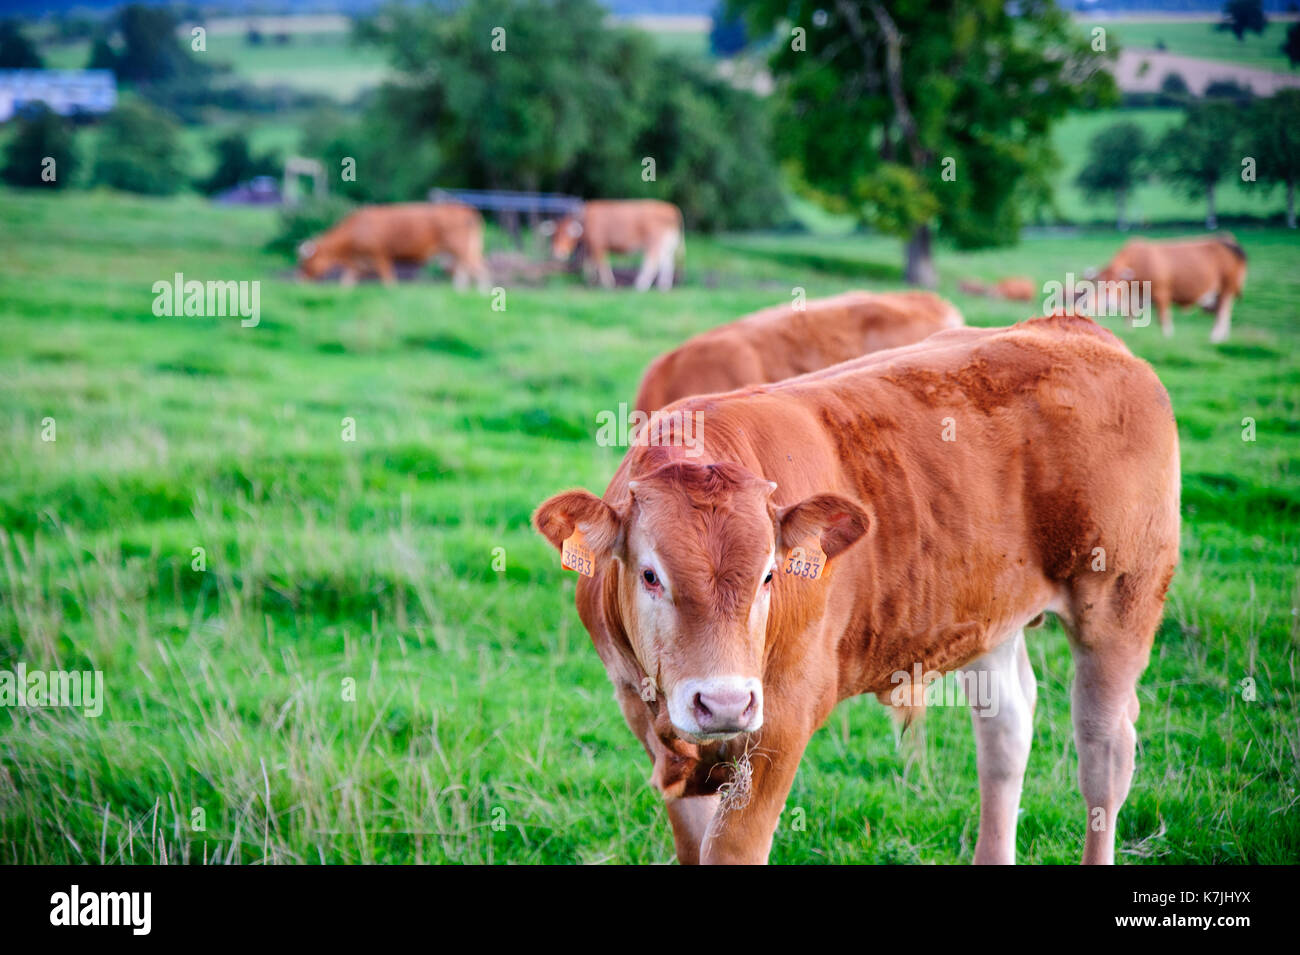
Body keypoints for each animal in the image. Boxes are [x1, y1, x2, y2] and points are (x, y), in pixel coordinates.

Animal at [297, 202, 490, 291]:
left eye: (304, 263)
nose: (300, 281)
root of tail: (465, 209)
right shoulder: (359, 262)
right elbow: (347, 280)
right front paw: (344, 292)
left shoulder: (380, 254)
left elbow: (387, 277)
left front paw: (391, 290)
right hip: (456, 252)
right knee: (463, 271)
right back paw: (459, 293)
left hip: (461, 249)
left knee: (479, 270)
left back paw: (481, 293)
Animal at [534, 313, 1180, 865]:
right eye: (651, 575)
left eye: (769, 573)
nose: (723, 703)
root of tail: (1077, 330)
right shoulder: (647, 718)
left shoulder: (782, 717)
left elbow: (734, 850)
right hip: (991, 613)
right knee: (1006, 735)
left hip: (1119, 603)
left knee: (1104, 755)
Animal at [543, 199, 684, 291]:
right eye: (555, 235)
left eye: (567, 234)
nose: (559, 252)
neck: (585, 221)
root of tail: (671, 209)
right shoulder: (590, 246)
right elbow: (589, 263)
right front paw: (590, 281)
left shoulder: (598, 243)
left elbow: (601, 263)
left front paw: (608, 283)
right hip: (667, 243)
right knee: (667, 262)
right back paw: (664, 286)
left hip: (654, 241)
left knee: (652, 262)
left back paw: (640, 285)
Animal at [1080, 234, 1247, 342]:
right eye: (1099, 282)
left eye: (1118, 282)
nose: (1109, 303)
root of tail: (1229, 242)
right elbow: (1128, 318)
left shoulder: (1162, 293)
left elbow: (1163, 318)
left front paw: (1167, 337)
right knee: (1226, 313)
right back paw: (1223, 337)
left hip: (1226, 288)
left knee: (1222, 313)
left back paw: (1215, 337)